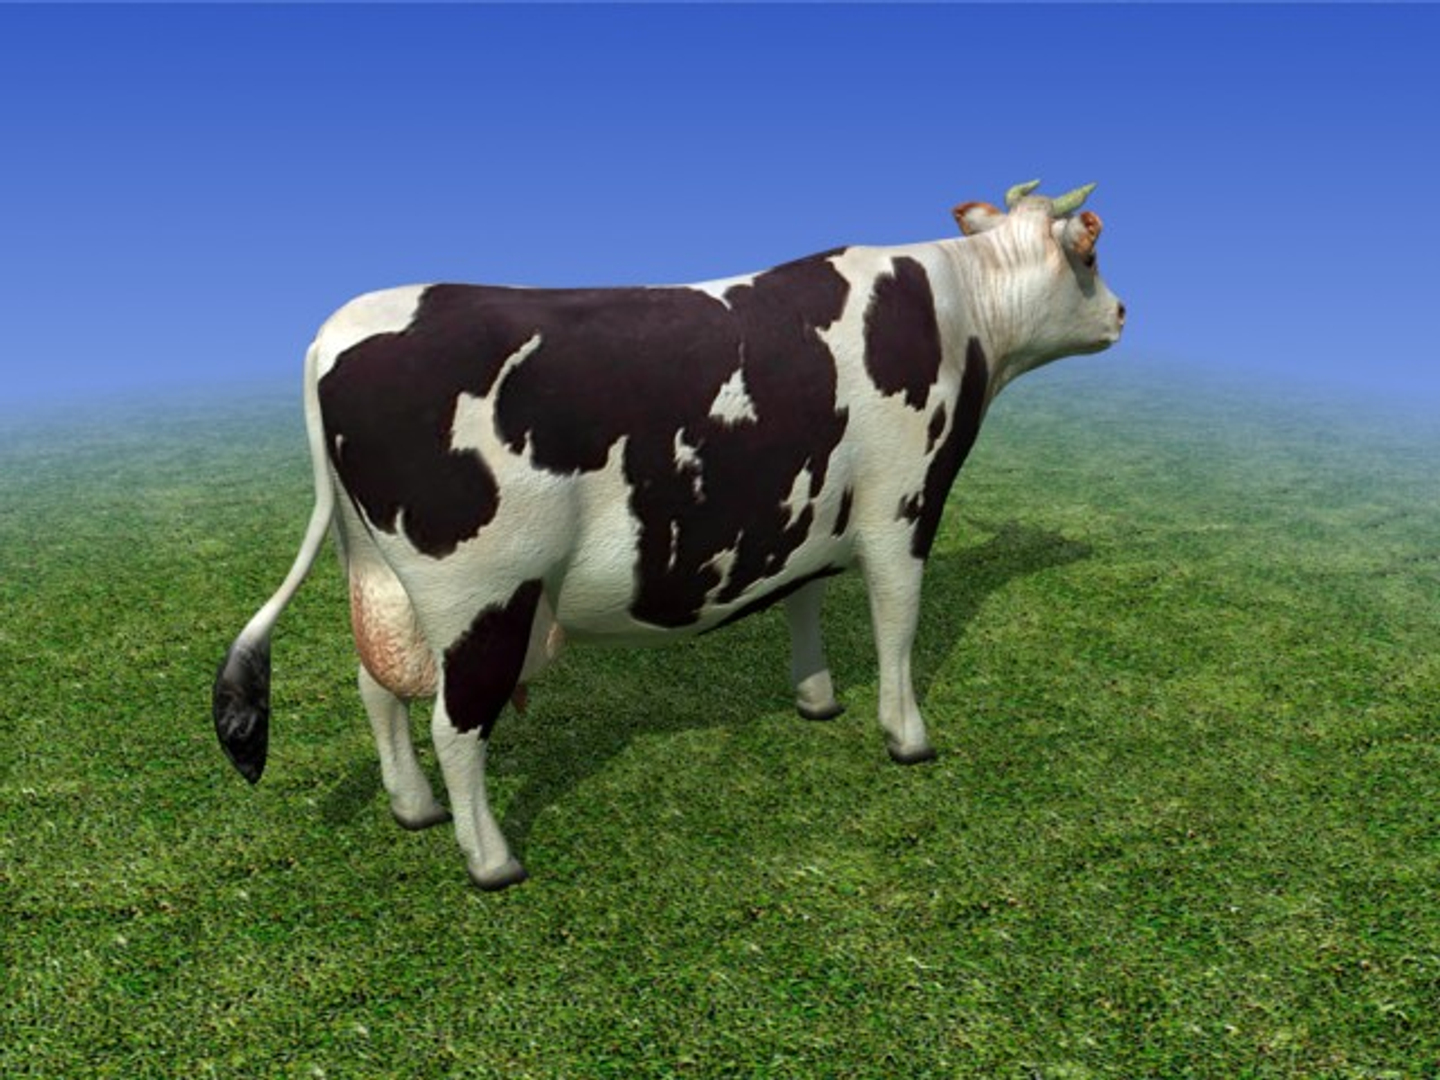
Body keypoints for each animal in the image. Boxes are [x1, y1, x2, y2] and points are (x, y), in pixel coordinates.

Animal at [214, 180, 1126, 890]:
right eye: (1089, 252)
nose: (1121, 310)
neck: (961, 307)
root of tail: (337, 329)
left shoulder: (807, 507)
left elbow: (804, 598)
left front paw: (816, 698)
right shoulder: (902, 504)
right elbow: (897, 624)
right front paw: (907, 737)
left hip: (376, 572)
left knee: (378, 687)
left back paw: (413, 809)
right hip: (481, 593)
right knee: (454, 723)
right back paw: (492, 862)